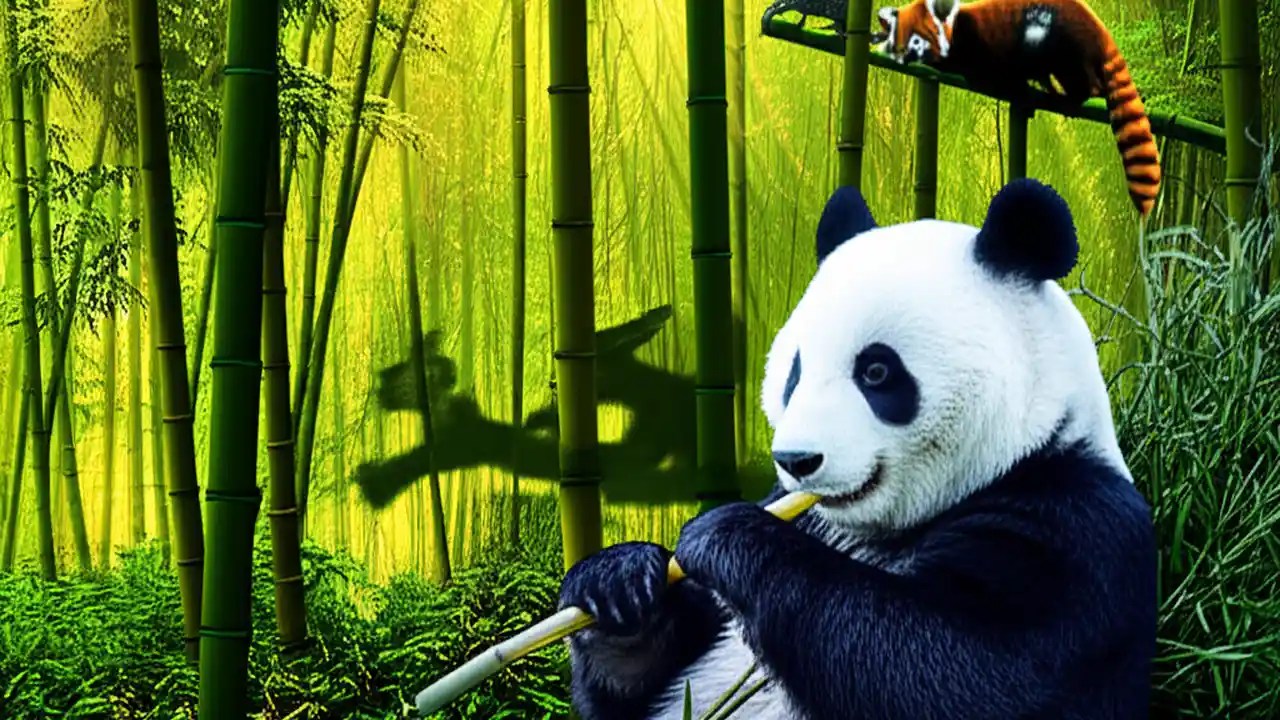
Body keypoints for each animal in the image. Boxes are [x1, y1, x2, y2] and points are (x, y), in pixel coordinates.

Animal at [558, 179, 1158, 720]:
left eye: (876, 371)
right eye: (795, 372)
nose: (797, 461)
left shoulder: (1076, 529)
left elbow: (966, 672)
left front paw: (726, 534)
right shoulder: (797, 512)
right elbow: (641, 686)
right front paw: (616, 585)